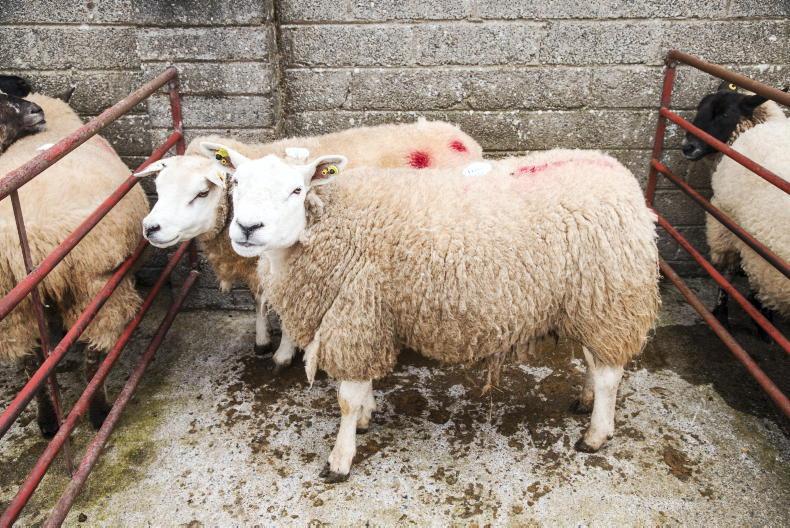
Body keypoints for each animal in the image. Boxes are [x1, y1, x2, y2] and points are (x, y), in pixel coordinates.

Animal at [0, 92, 149, 436]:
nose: (35, 111)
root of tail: (33, 240)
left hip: (39, 299)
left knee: (38, 363)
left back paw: (60, 418)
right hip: (90, 287)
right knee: (80, 356)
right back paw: (85, 413)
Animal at [135, 120, 483, 372]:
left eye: (201, 193)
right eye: (159, 188)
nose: (150, 228)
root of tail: (462, 137)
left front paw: (283, 353)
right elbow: (260, 298)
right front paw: (262, 338)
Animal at [205, 144, 661, 482]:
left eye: (297, 191)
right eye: (236, 182)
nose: (247, 228)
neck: (330, 224)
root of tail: (620, 174)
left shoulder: (356, 312)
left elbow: (347, 399)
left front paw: (340, 458)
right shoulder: (371, 313)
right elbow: (363, 390)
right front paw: (368, 417)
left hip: (610, 296)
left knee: (609, 373)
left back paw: (595, 435)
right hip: (590, 301)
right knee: (595, 362)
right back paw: (586, 401)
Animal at [681, 81, 789, 333]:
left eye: (724, 114)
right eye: (699, 107)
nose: (687, 146)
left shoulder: (727, 219)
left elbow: (728, 273)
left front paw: (724, 312)